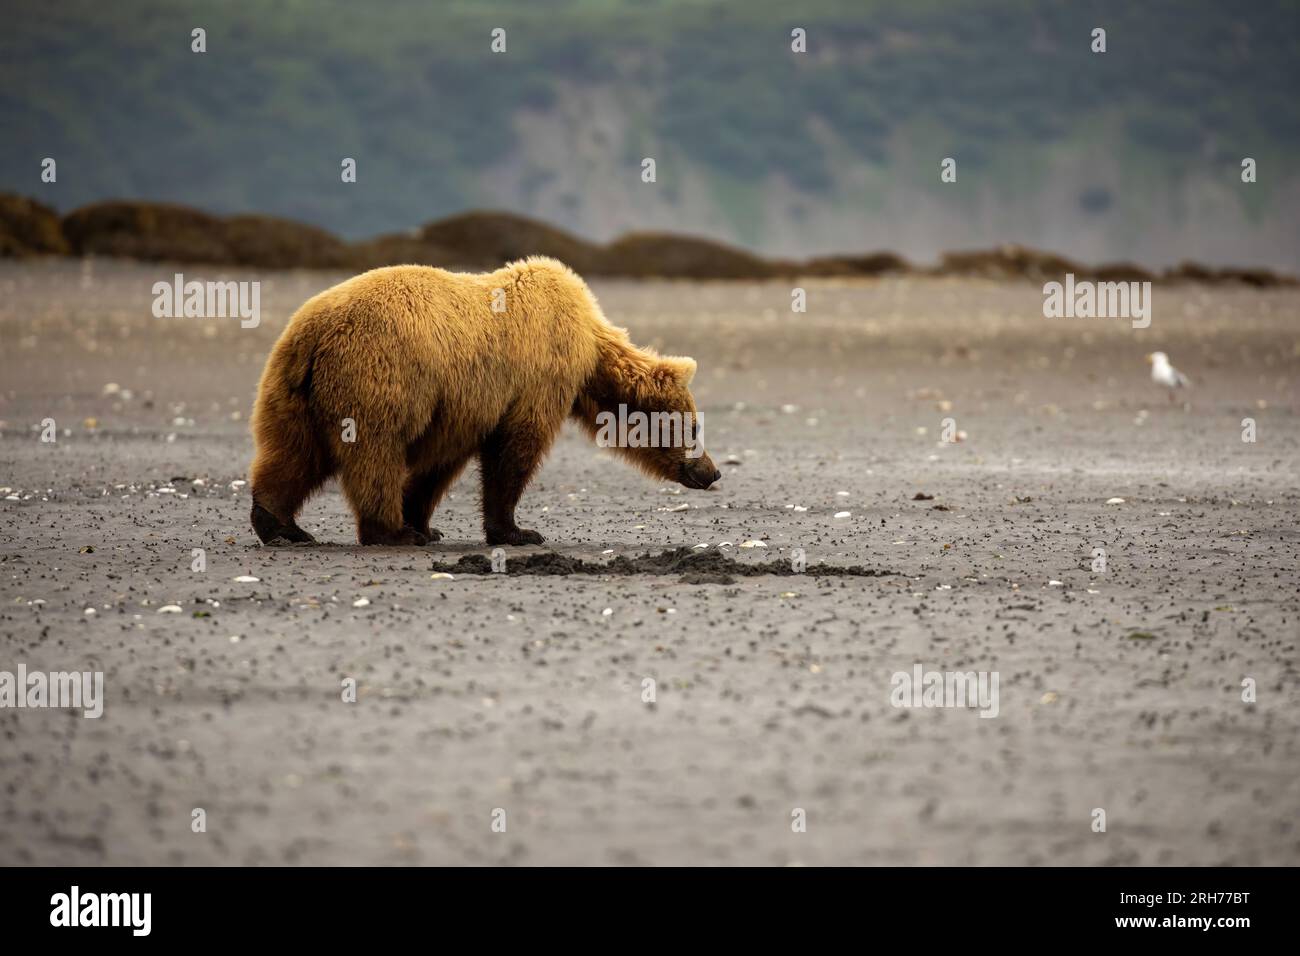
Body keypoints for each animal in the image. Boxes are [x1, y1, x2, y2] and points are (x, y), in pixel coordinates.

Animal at [248, 257, 720, 546]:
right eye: (695, 426)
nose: (712, 471)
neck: (589, 352)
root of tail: (313, 331)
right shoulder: (536, 378)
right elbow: (516, 450)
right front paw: (518, 531)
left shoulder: (462, 406)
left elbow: (439, 465)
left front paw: (427, 523)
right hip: (379, 376)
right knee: (375, 453)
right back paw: (389, 531)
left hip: (292, 390)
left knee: (293, 452)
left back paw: (280, 524)